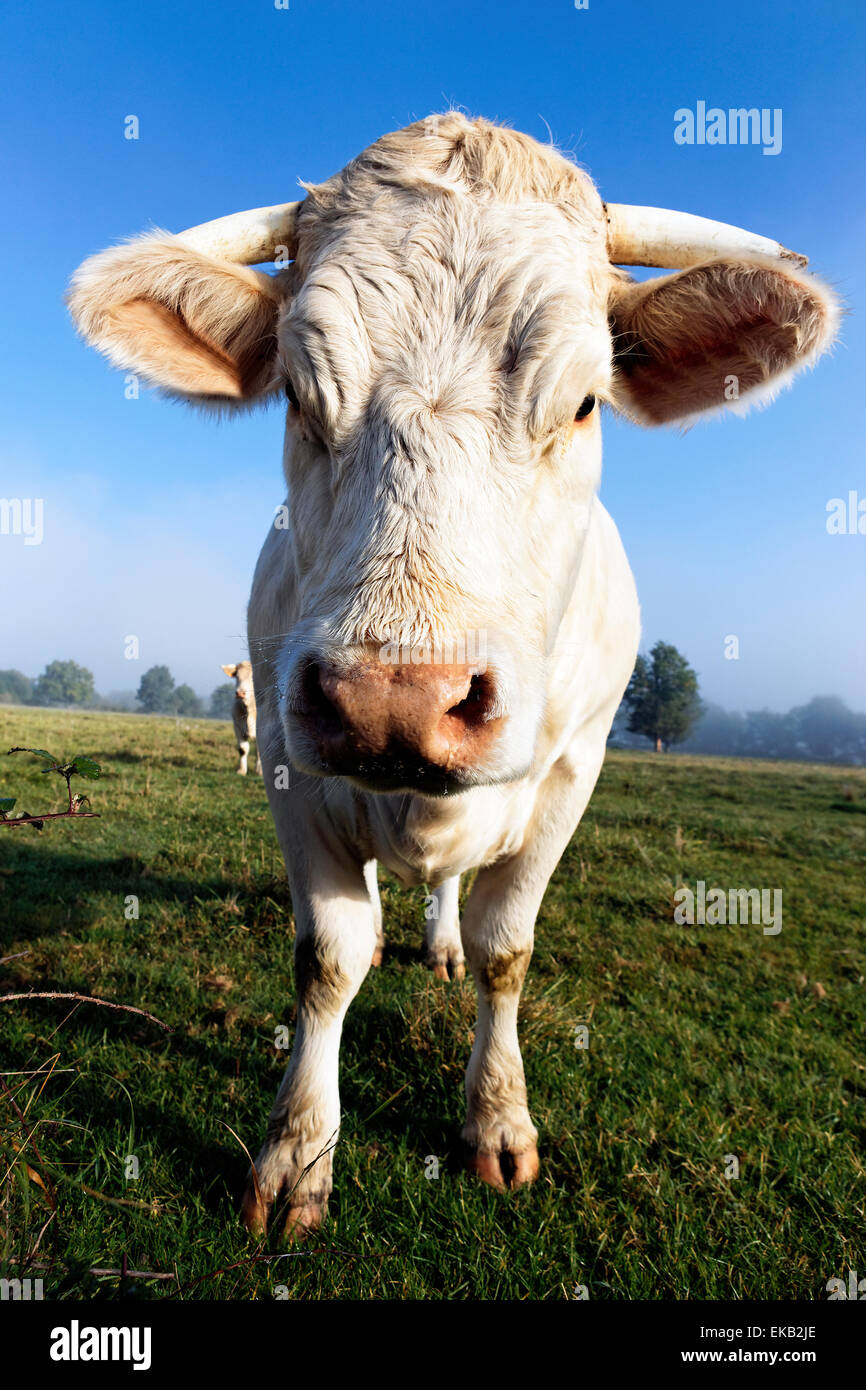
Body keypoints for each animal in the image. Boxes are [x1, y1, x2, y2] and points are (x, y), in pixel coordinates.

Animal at [68, 112, 838, 1237]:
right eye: (296, 395)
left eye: (585, 402)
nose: (395, 701)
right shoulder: (289, 761)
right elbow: (327, 956)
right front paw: (297, 1153)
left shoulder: (573, 769)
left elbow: (504, 948)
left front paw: (497, 1122)